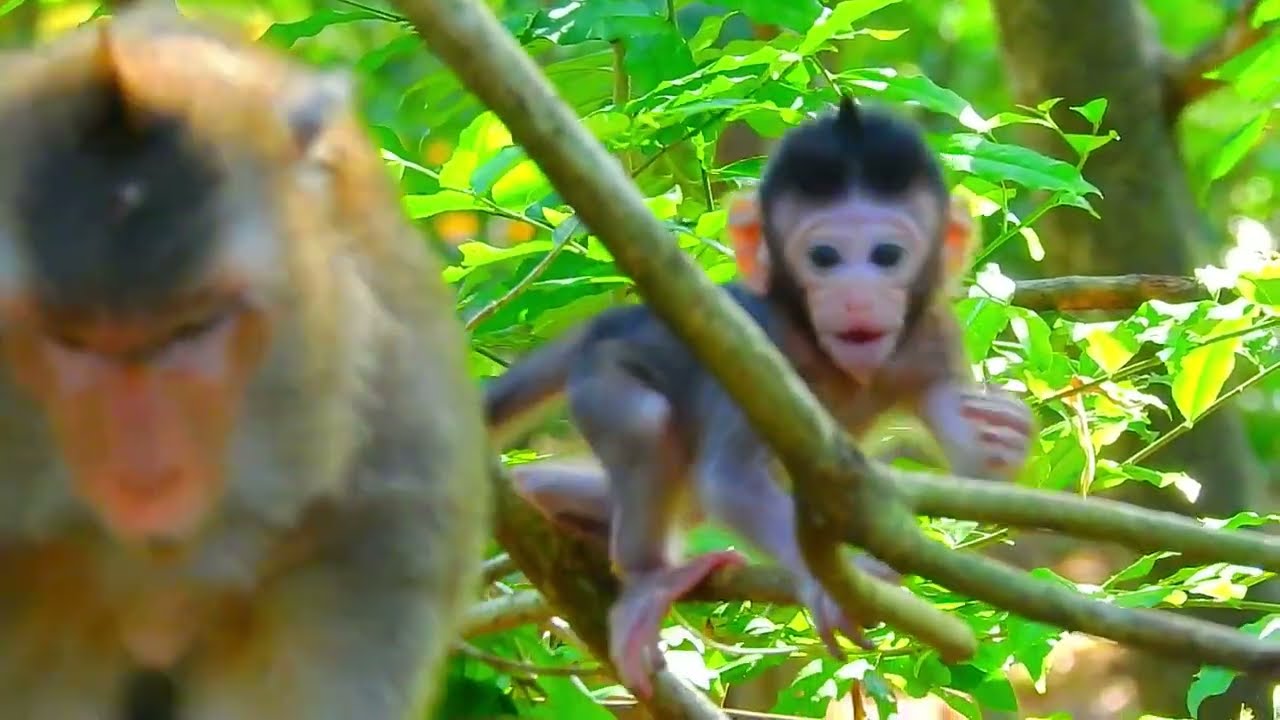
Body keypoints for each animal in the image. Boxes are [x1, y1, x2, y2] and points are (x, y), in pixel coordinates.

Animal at [484, 98, 1034, 698]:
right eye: (824, 257)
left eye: (886, 256)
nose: (856, 296)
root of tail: (614, 320)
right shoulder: (753, 349)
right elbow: (731, 479)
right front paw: (833, 583)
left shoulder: (932, 338)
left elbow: (973, 464)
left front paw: (997, 440)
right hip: (604, 375)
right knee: (644, 421)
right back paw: (650, 577)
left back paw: (548, 499)